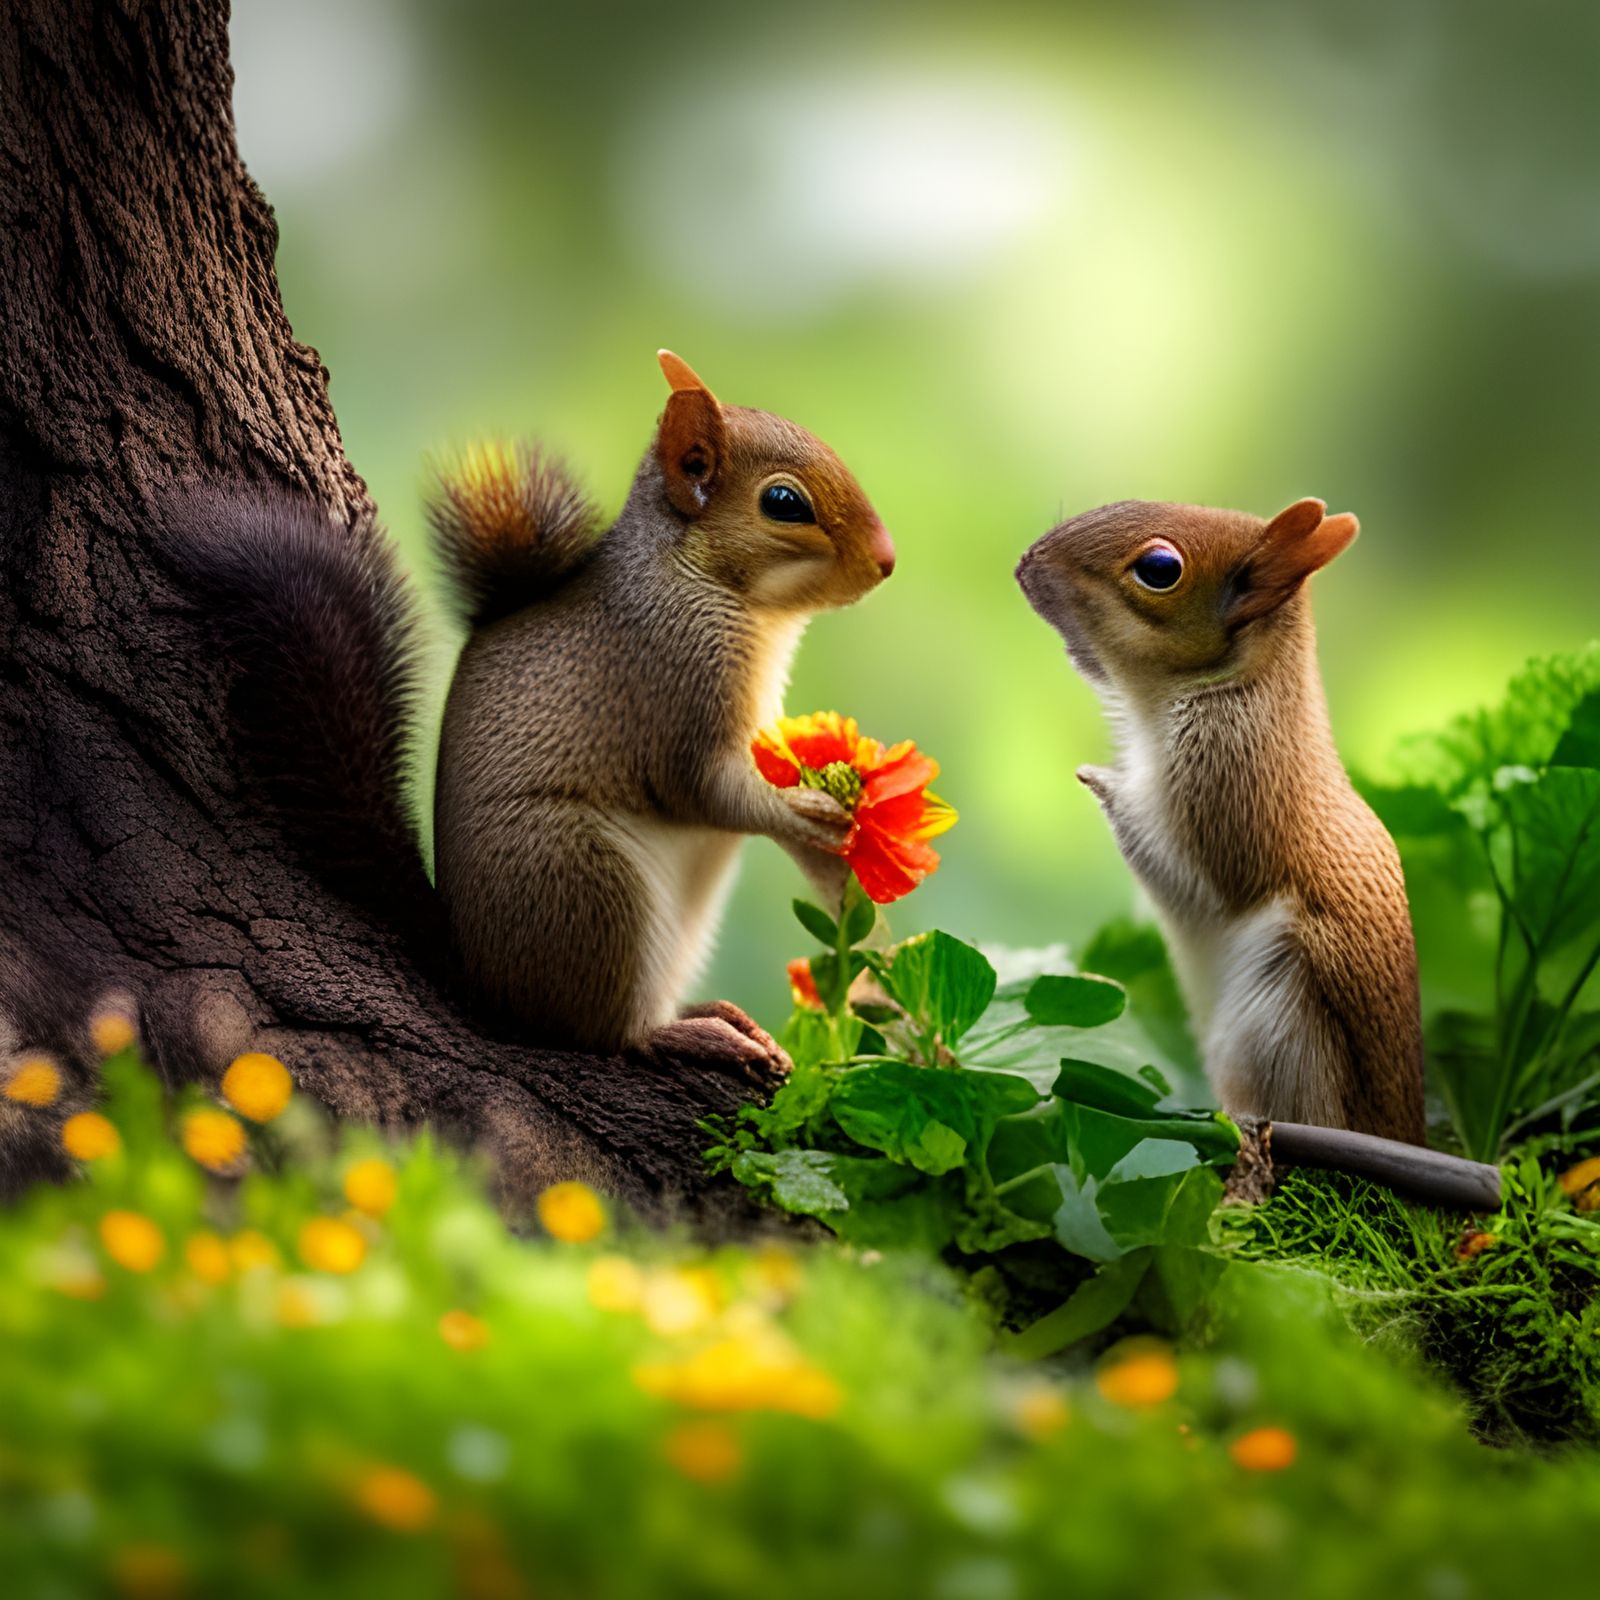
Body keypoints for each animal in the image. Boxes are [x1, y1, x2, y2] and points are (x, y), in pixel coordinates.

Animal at [428, 351, 896, 1065]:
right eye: (784, 503)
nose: (887, 560)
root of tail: (484, 986)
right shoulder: (671, 683)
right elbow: (709, 789)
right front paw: (805, 811)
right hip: (584, 886)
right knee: (612, 1033)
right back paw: (694, 1033)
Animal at [1015, 496, 1425, 1144]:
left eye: (1160, 569)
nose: (1025, 565)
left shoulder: (1230, 789)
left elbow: (1194, 875)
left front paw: (1101, 780)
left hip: (1276, 1028)